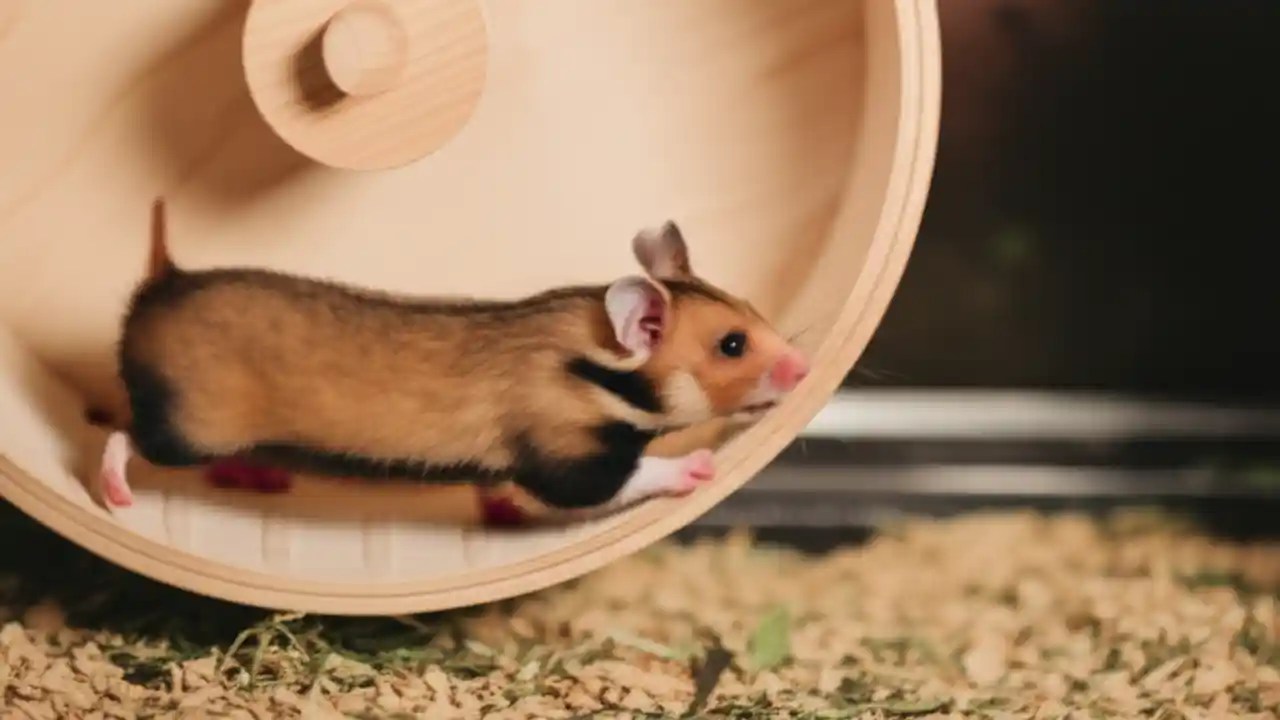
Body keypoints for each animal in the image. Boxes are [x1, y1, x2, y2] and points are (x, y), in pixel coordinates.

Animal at [97, 199, 810, 516]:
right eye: (732, 344)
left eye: (751, 310)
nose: (804, 370)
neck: (594, 367)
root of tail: (159, 284)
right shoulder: (563, 454)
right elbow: (614, 480)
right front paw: (696, 467)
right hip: (189, 426)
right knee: (125, 438)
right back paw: (117, 495)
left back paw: (260, 478)